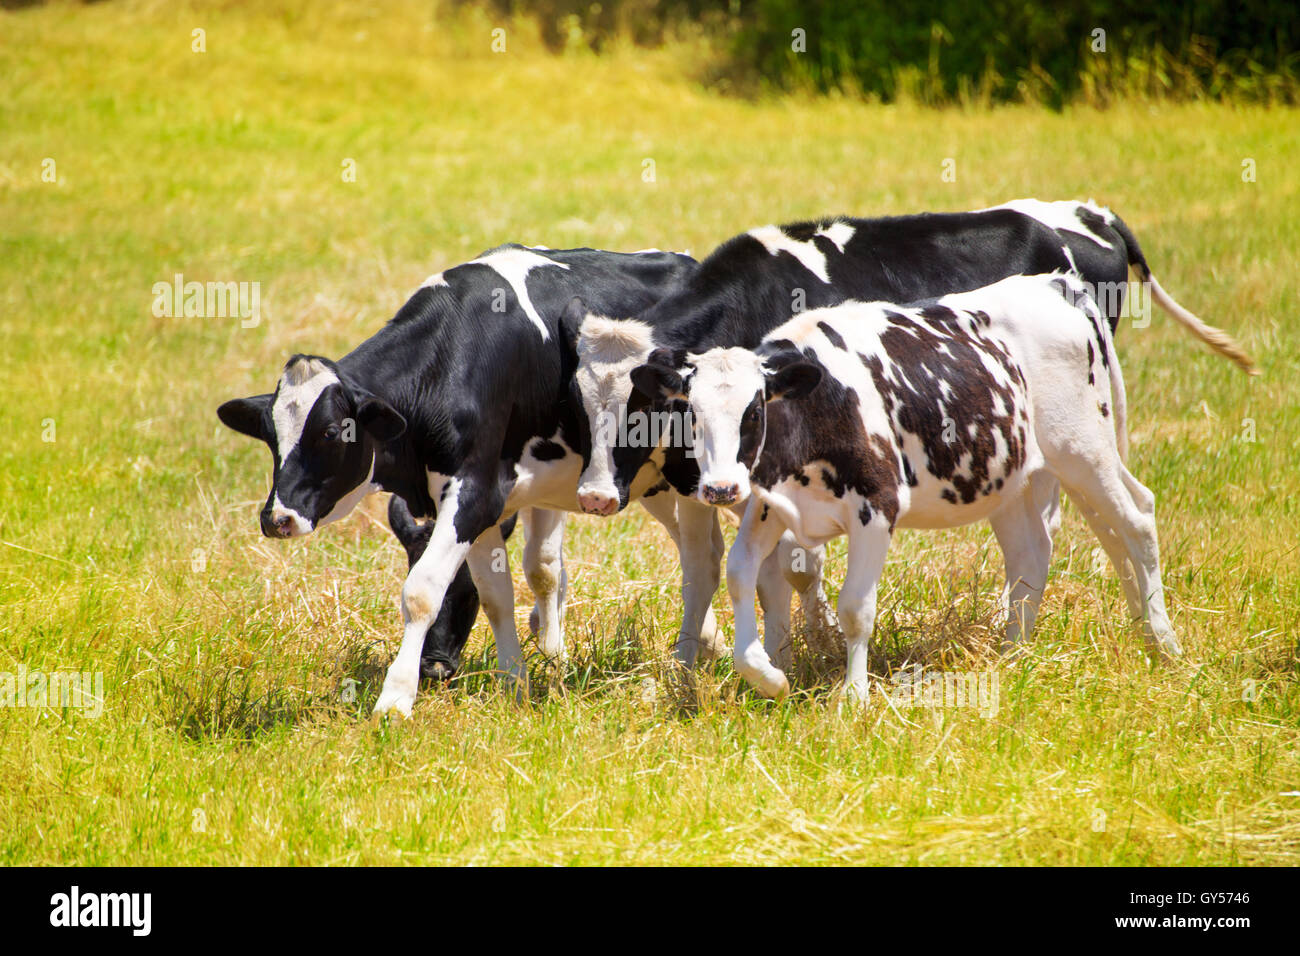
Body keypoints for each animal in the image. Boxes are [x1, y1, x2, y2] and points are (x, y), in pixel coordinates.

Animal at [638, 273, 1181, 699]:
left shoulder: (876, 506)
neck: (822, 405)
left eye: (754, 411)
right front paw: (769, 677)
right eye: (691, 413)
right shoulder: (772, 505)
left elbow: (855, 609)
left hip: (1084, 450)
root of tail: (1056, 285)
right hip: (1016, 477)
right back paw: (1013, 655)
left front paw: (854, 698)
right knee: (1035, 553)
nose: (720, 489)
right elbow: (740, 575)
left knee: (1136, 522)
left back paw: (1162, 642)